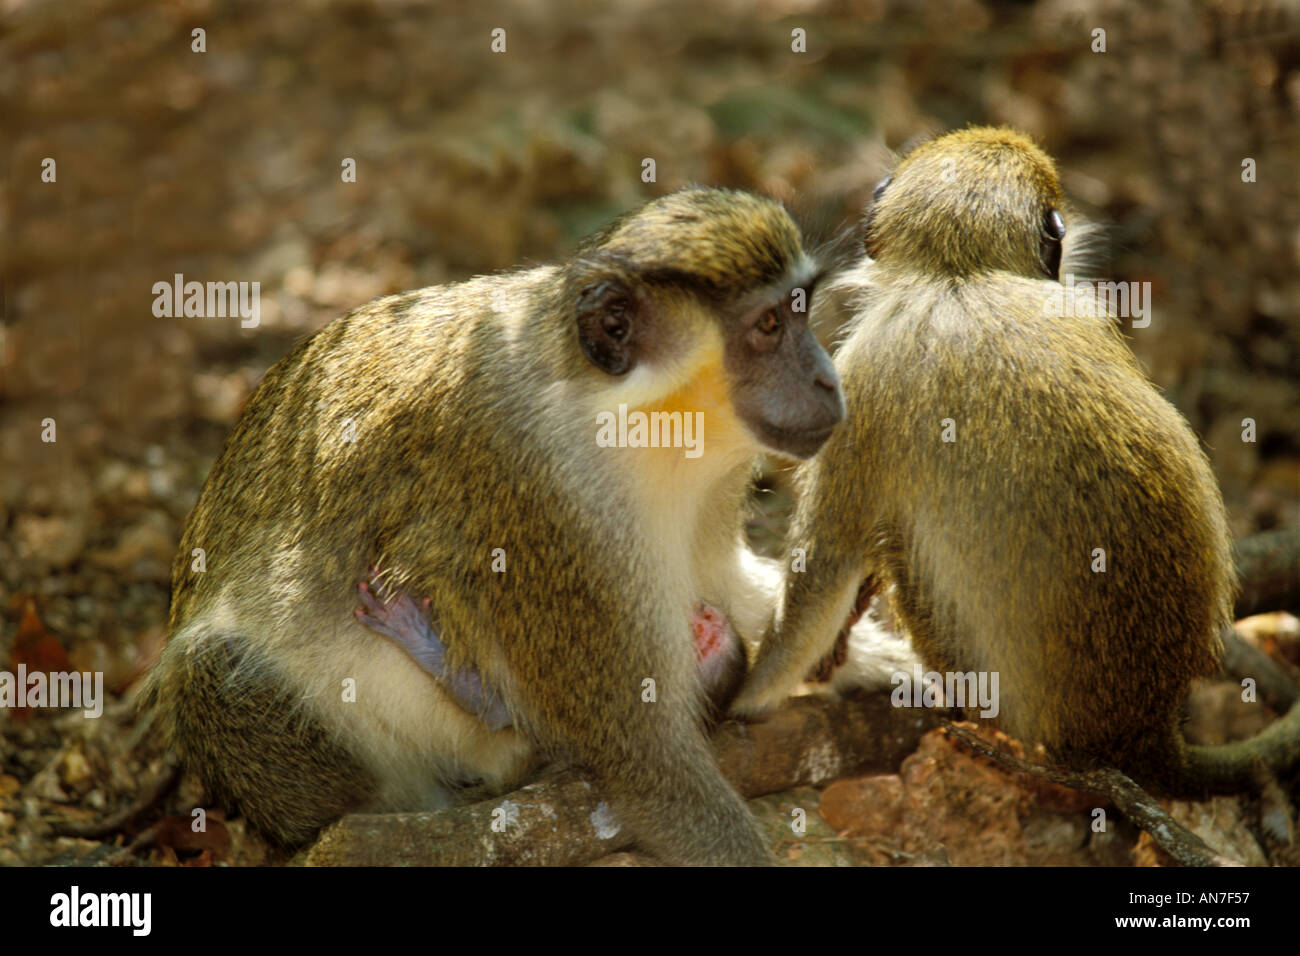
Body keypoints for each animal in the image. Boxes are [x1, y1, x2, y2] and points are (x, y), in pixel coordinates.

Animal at [143, 186, 845, 864]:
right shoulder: (550, 504)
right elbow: (648, 762)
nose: (827, 378)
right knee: (214, 667)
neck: (624, 414)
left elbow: (664, 728)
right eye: (770, 324)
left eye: (799, 310)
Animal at [732, 127, 1300, 795]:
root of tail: (1145, 725)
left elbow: (821, 569)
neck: (961, 275)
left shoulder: (860, 373)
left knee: (895, 542)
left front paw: (746, 697)